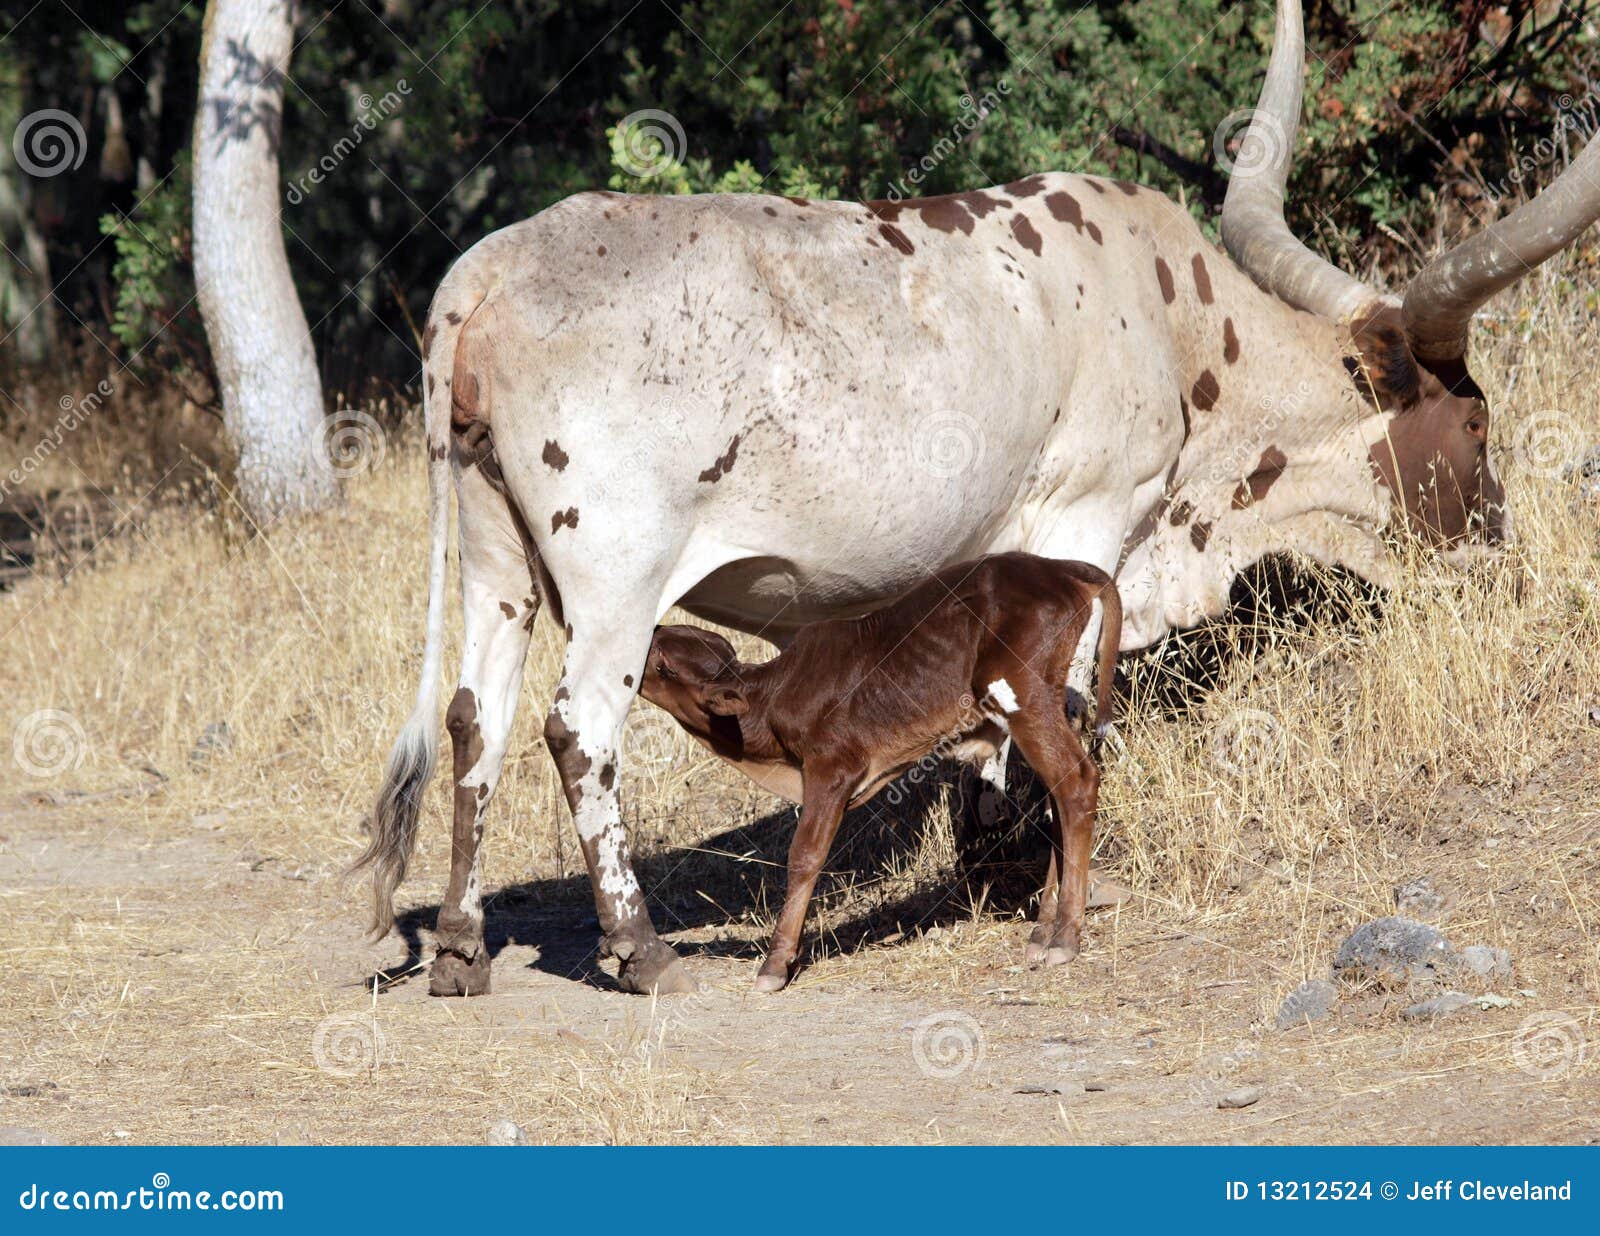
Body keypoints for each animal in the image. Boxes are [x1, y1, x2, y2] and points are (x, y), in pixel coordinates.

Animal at [636, 552, 1121, 991]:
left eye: (662, 663)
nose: (650, 630)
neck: (770, 702)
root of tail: (1060, 568)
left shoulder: (831, 768)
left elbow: (804, 856)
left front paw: (775, 964)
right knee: (1058, 797)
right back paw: (1044, 929)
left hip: (1025, 695)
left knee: (1078, 782)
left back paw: (1065, 938)